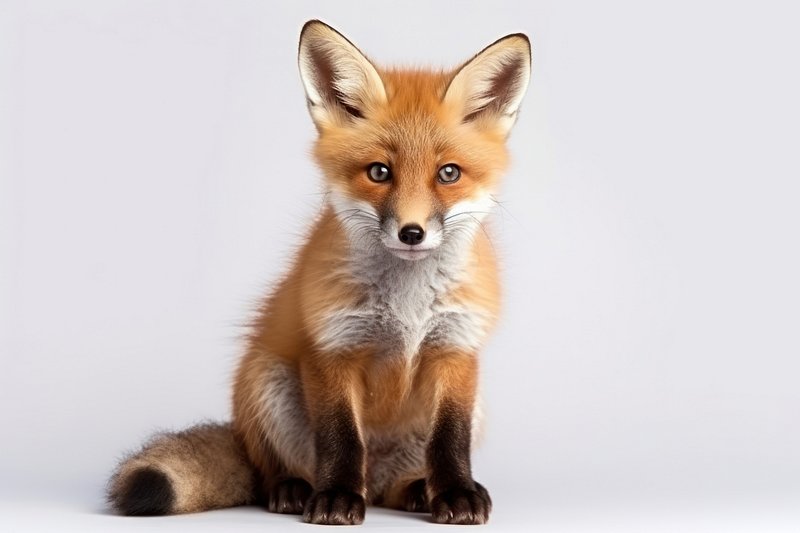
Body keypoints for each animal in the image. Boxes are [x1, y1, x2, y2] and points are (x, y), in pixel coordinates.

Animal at [107, 20, 531, 525]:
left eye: (449, 173)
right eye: (378, 172)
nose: (412, 233)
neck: (406, 307)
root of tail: (378, 475)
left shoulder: (456, 349)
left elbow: (451, 440)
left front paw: (455, 493)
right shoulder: (332, 349)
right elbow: (339, 437)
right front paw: (336, 498)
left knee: (397, 482)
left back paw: (416, 490)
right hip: (265, 382)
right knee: (273, 471)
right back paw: (296, 489)